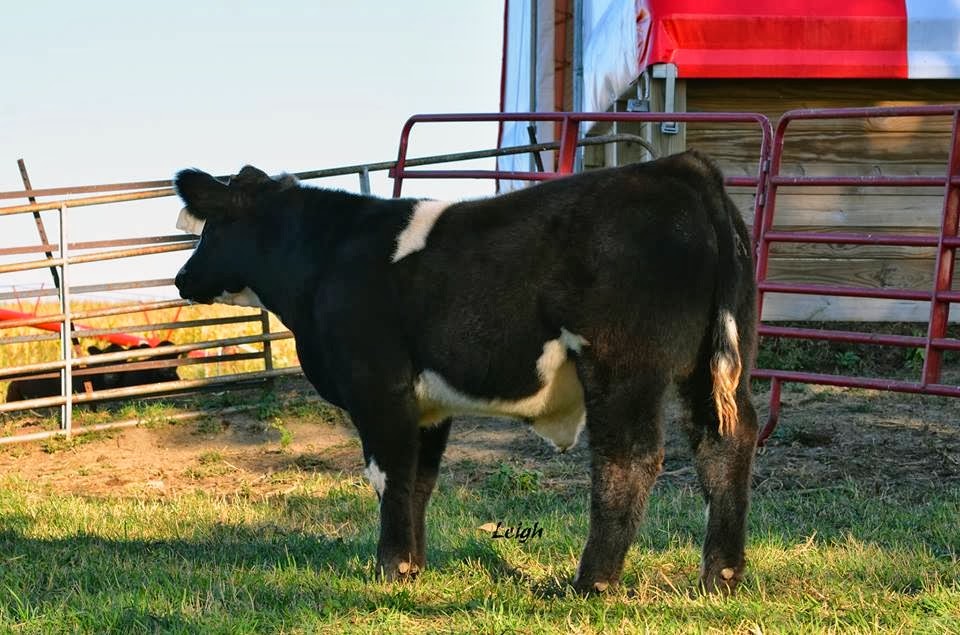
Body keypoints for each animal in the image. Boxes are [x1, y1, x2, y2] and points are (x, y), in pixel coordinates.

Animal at [172, 150, 758, 594]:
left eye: (210, 230)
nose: (180, 278)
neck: (326, 258)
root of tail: (677, 167)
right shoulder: (427, 404)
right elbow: (418, 480)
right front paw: (412, 567)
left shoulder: (378, 388)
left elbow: (389, 476)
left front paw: (389, 569)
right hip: (713, 367)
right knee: (726, 443)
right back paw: (721, 577)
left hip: (623, 366)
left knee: (629, 458)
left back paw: (592, 582)